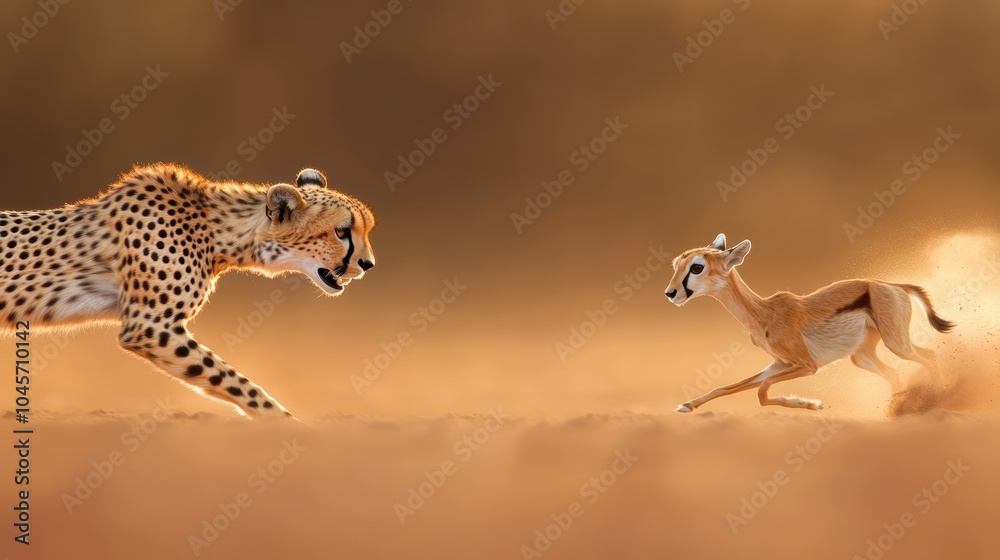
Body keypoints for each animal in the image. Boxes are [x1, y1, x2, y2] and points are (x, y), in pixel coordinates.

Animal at [664, 234, 955, 412]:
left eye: (697, 267)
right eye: (676, 264)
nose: (670, 293)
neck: (763, 312)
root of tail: (892, 284)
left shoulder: (807, 366)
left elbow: (761, 393)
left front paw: (812, 404)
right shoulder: (779, 364)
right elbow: (727, 386)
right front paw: (687, 405)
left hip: (896, 343)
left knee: (929, 356)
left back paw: (939, 401)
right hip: (860, 357)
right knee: (894, 373)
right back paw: (896, 408)